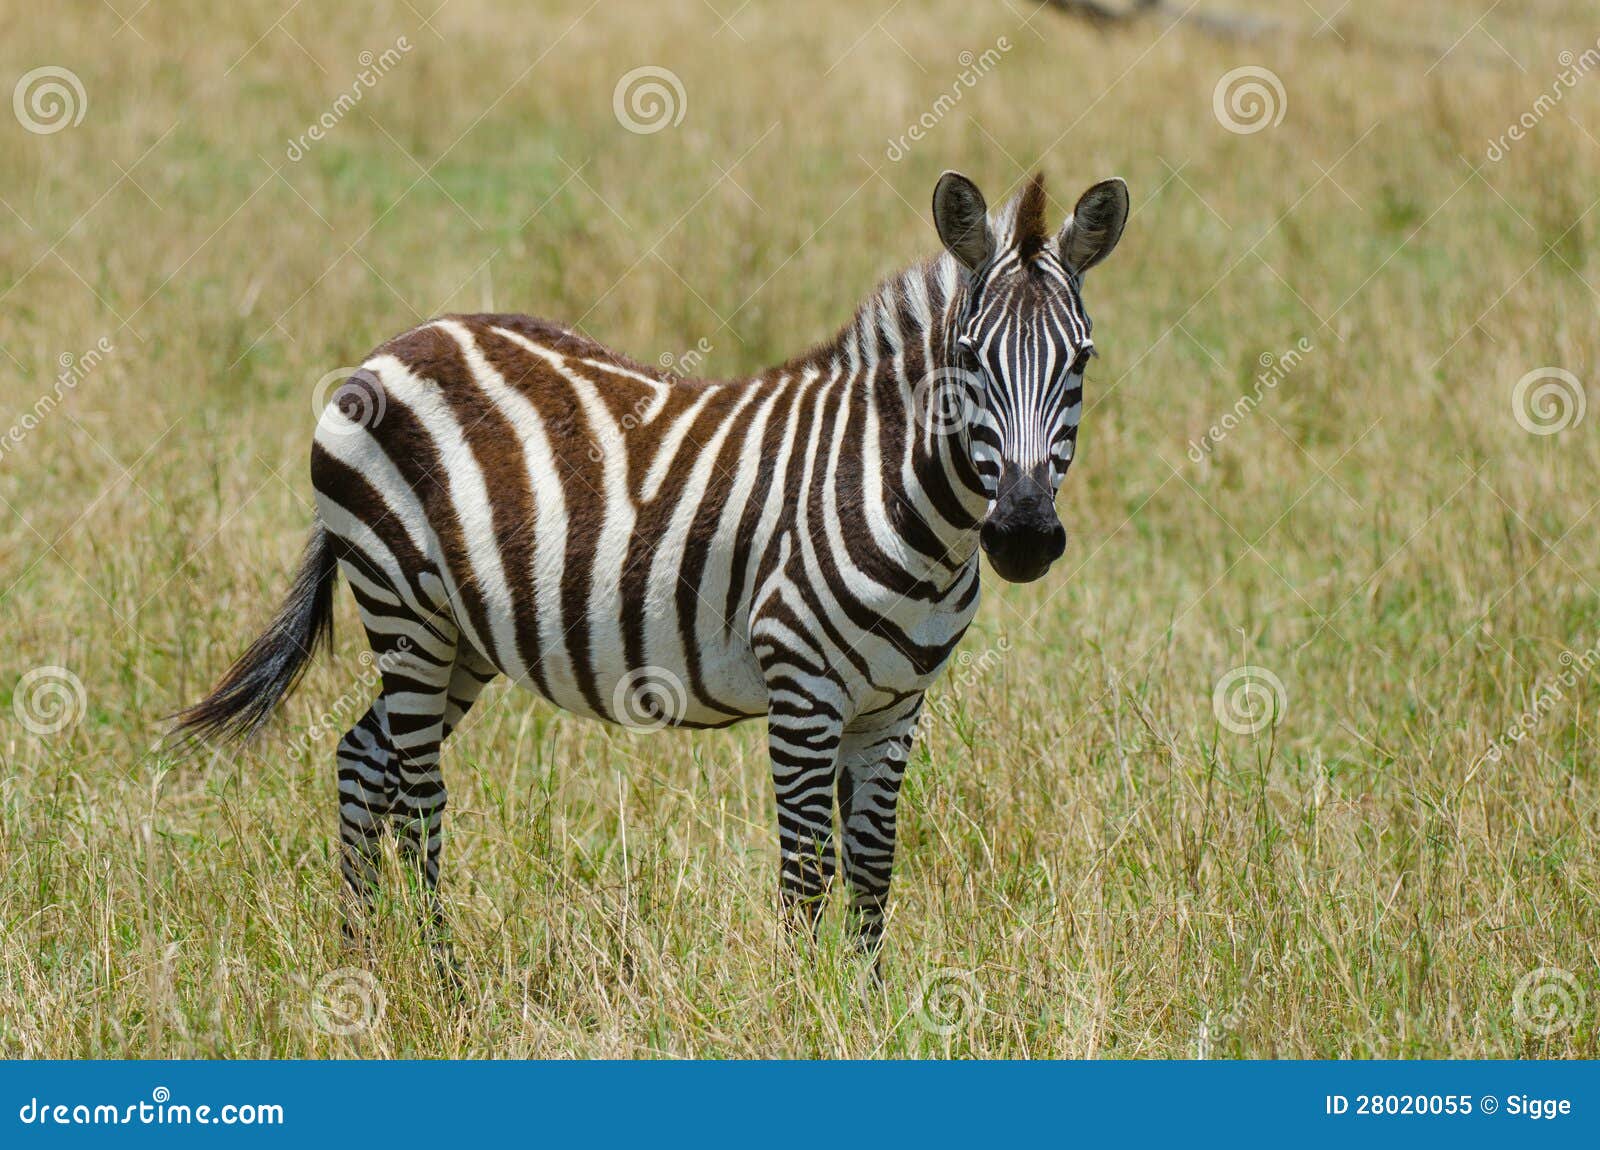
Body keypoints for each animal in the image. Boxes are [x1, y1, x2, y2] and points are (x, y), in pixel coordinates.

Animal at [175, 169, 1129, 958]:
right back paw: (439, 976)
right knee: (415, 790)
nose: (1024, 536)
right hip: (402, 601)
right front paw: (805, 1010)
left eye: (1082, 359)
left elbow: (871, 869)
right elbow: (807, 874)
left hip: (458, 635)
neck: (906, 509)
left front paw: (867, 1006)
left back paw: (362, 955)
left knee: (361, 757)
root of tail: (396, 345)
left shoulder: (894, 707)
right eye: (968, 357)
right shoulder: (803, 691)